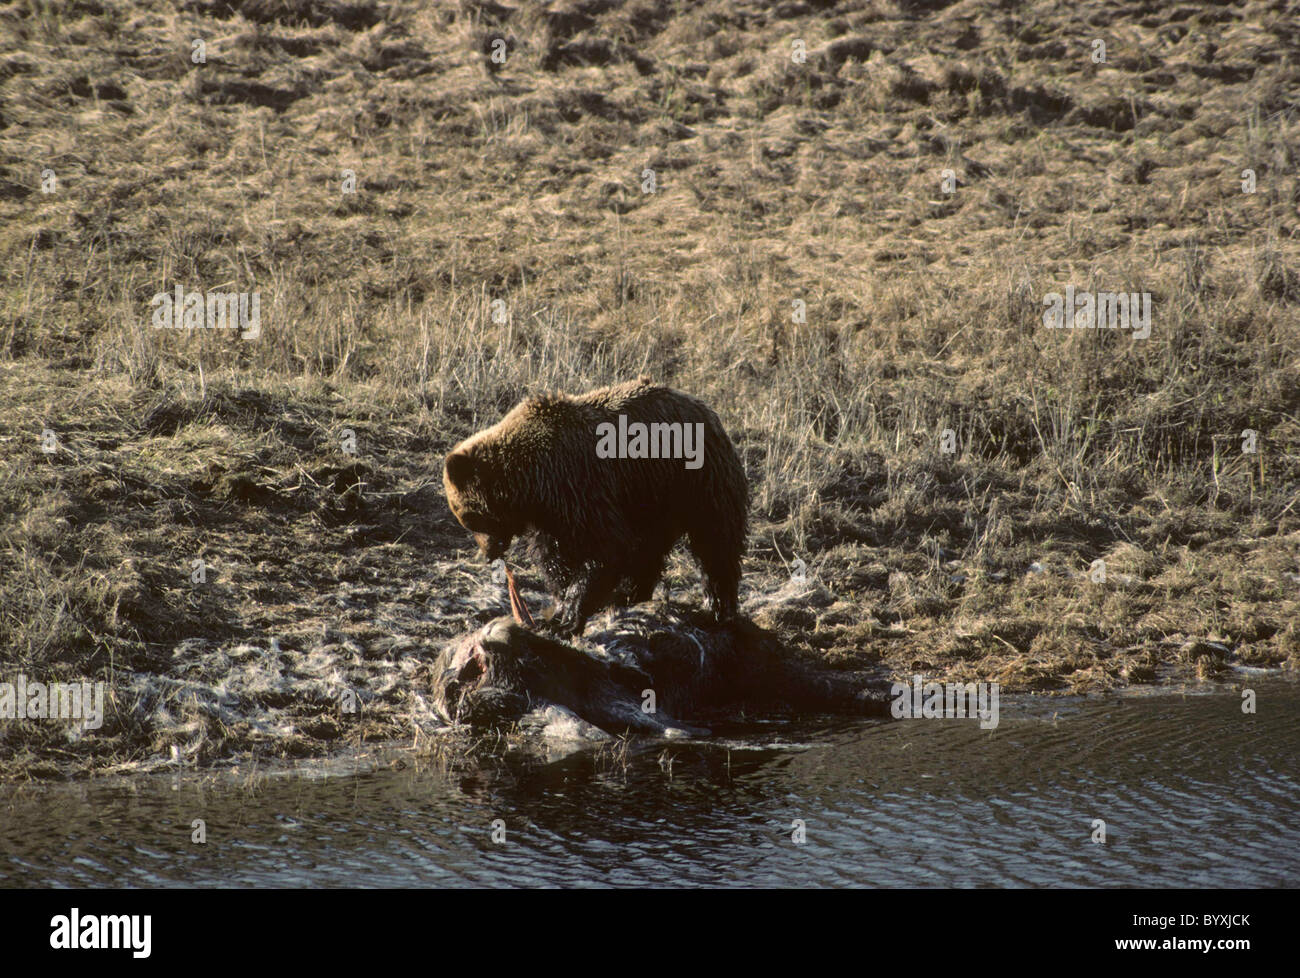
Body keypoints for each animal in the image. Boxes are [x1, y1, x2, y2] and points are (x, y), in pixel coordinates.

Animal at [443, 378, 748, 636]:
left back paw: (717, 608)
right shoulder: (551, 511)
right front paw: (561, 604)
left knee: (714, 541)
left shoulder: (577, 484)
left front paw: (568, 618)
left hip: (695, 477)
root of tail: (706, 408)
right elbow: (555, 556)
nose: (489, 553)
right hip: (650, 495)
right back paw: (629, 593)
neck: (528, 479)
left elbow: (605, 547)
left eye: (472, 519)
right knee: (650, 545)